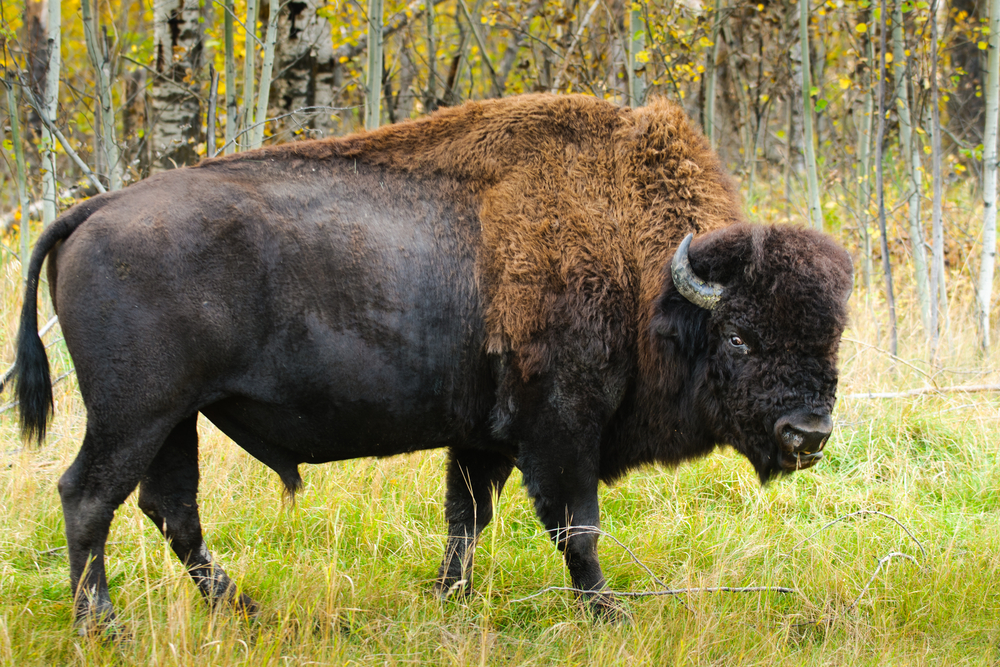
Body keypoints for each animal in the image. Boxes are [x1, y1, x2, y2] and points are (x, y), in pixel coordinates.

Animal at [6, 94, 852, 631]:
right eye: (739, 336)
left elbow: (466, 518)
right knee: (90, 497)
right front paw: (606, 613)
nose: (808, 433)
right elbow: (576, 527)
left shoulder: (480, 436)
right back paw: (102, 626)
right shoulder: (560, 428)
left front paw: (450, 598)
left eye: (832, 337)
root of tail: (92, 211)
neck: (642, 274)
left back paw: (242, 609)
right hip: (134, 413)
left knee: (170, 508)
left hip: (173, 418)